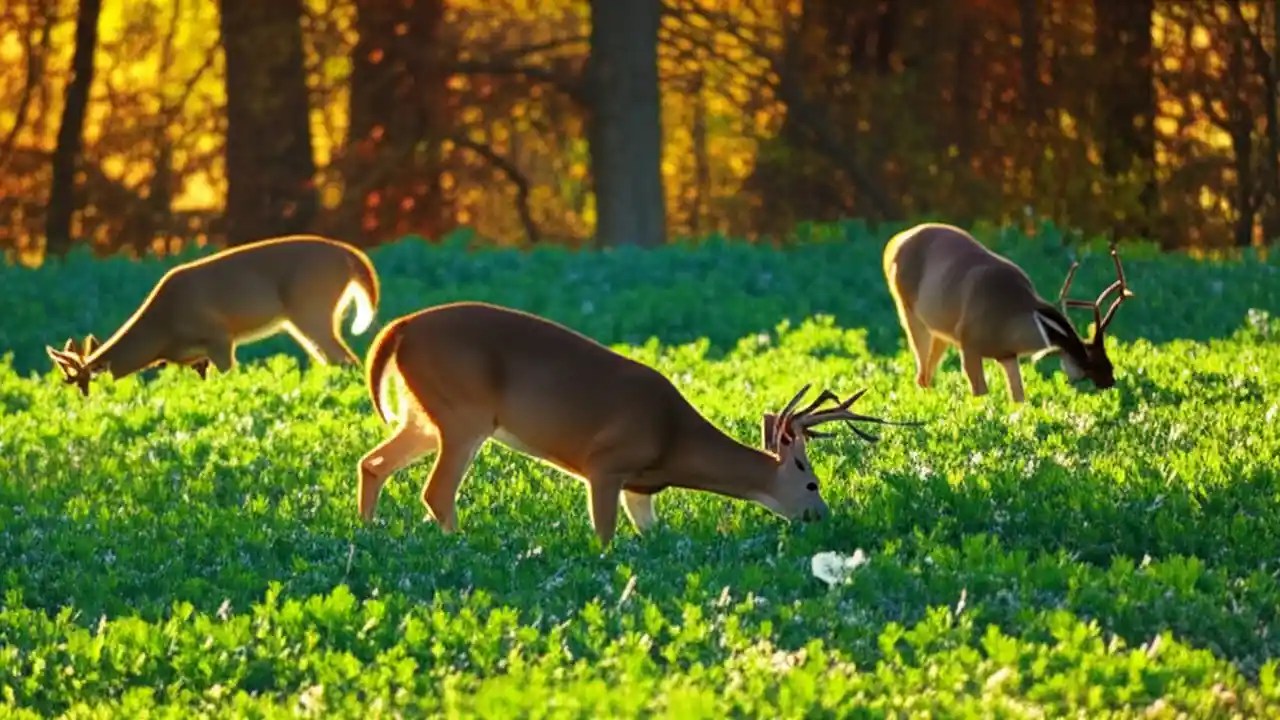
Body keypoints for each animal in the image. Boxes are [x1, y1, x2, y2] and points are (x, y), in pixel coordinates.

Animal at [45, 234, 380, 397]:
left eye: (83, 381)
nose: (85, 402)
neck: (162, 331)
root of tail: (350, 255)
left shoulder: (219, 336)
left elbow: (230, 376)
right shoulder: (198, 359)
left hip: (312, 308)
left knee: (346, 358)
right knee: (332, 360)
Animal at [355, 301, 917, 547]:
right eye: (812, 481)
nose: (821, 516)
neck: (672, 440)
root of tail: (397, 329)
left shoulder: (640, 487)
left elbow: (650, 533)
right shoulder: (605, 465)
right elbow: (603, 535)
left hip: (424, 414)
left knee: (373, 462)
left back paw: (366, 532)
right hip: (463, 413)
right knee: (436, 490)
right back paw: (462, 545)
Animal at [882, 222, 1134, 403]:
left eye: (1108, 360)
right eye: (1089, 363)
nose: (1110, 381)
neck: (1012, 315)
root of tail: (892, 244)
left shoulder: (1007, 355)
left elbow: (1019, 398)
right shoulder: (968, 342)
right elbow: (981, 394)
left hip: (940, 330)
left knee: (926, 375)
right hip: (910, 312)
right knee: (921, 374)